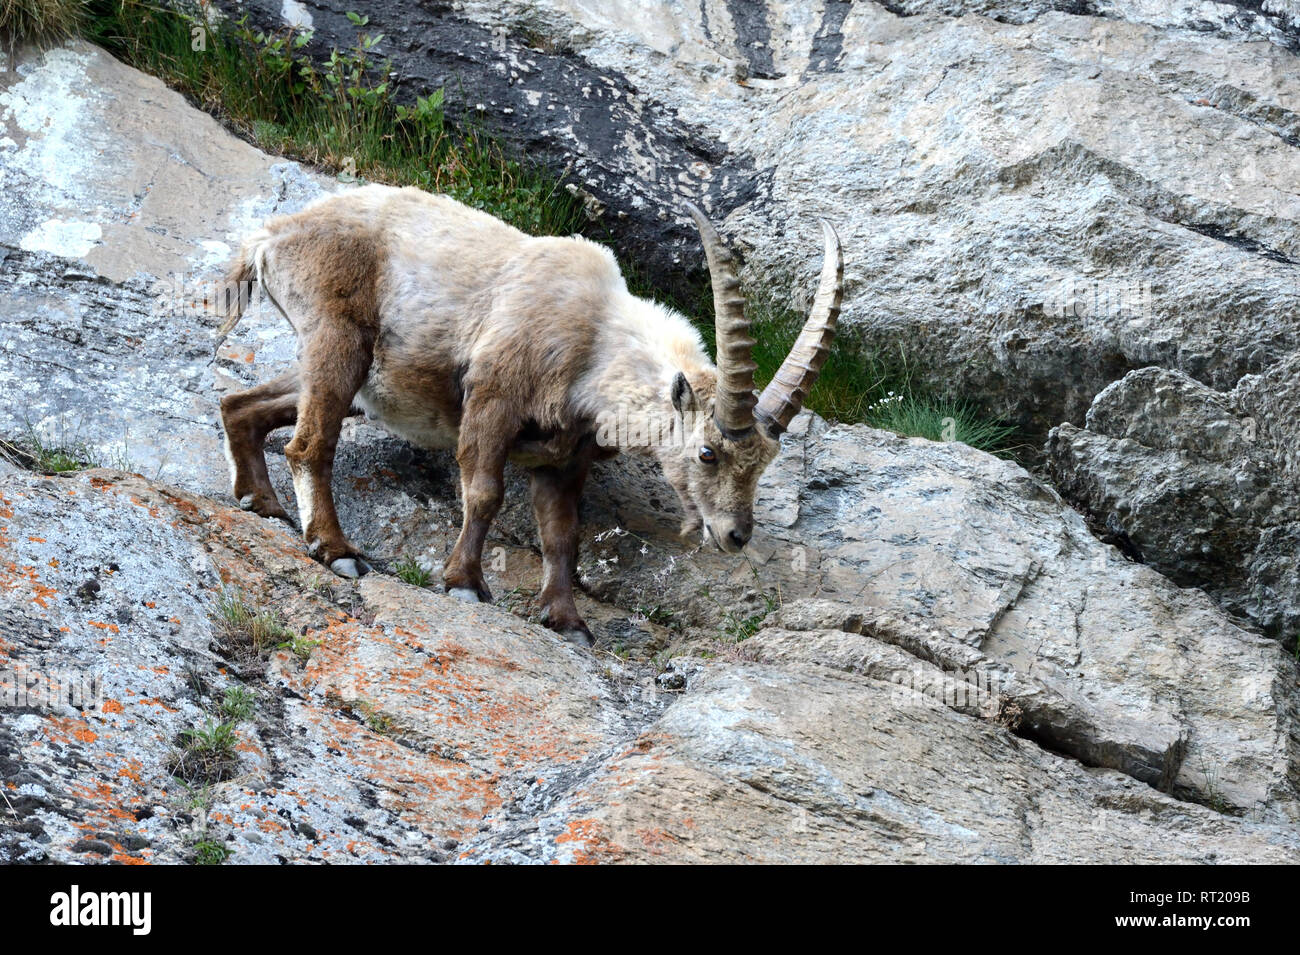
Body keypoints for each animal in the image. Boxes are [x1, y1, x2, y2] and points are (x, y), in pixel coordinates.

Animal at [216, 185, 842, 645]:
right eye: (708, 452)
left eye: (763, 465)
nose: (735, 535)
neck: (593, 340)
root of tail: (273, 235)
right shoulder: (492, 401)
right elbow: (483, 493)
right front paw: (465, 584)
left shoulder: (562, 457)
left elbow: (562, 535)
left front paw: (567, 621)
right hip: (339, 340)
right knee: (307, 444)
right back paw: (336, 550)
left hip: (356, 380)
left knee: (241, 405)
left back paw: (259, 501)